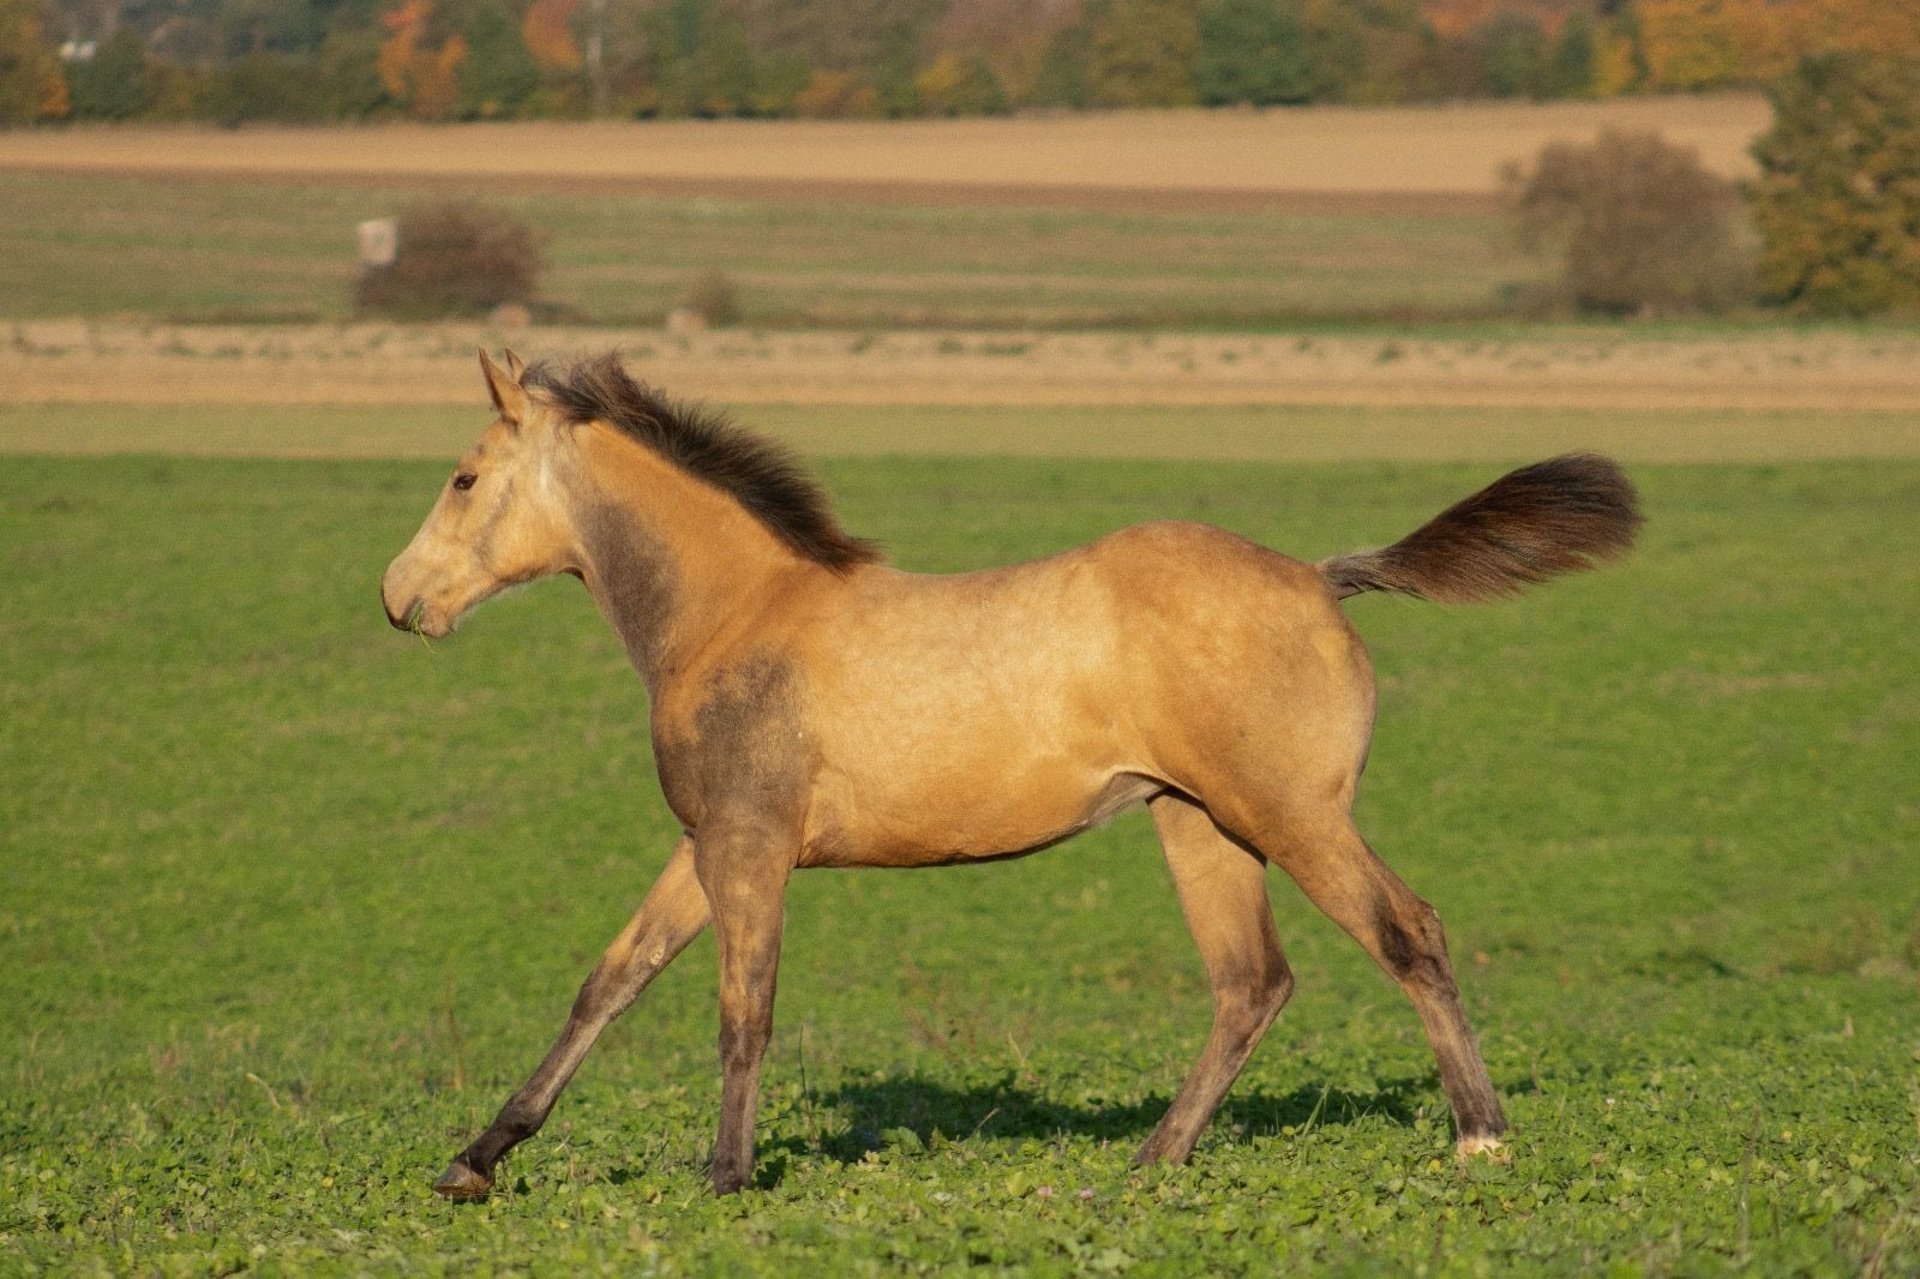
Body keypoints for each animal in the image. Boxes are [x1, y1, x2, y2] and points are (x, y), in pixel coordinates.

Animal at [382, 350, 1640, 1199]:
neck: (739, 615)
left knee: (1405, 930)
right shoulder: (706, 846)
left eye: (463, 476)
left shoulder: (749, 846)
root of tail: (1319, 576)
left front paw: (728, 1178)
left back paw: (1481, 1136)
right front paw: (474, 1161)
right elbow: (610, 981)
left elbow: (744, 1009)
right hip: (1199, 823)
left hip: (1291, 814)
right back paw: (1150, 1161)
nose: (399, 600)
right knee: (1252, 982)